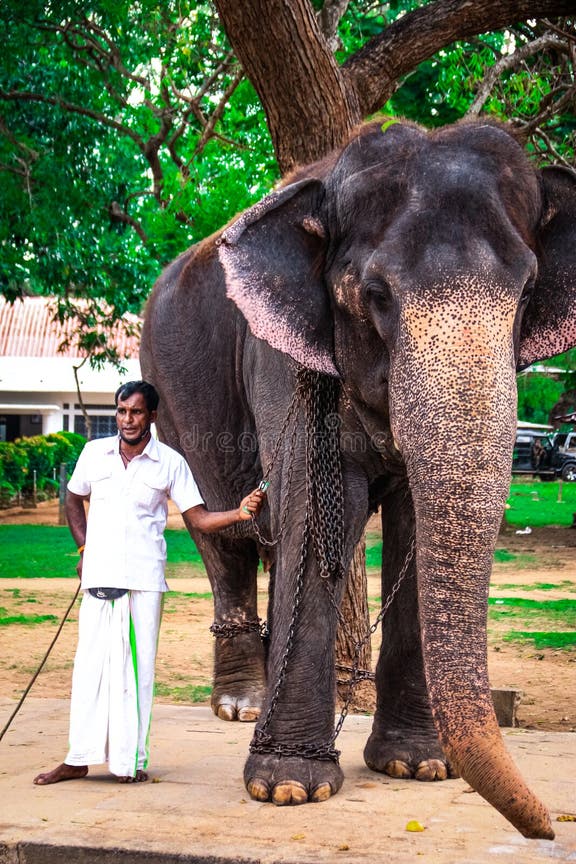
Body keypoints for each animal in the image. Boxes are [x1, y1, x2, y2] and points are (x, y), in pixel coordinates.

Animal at [140, 117, 576, 840]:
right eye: (375, 296)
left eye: (525, 294)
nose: (546, 828)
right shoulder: (282, 356)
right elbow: (316, 506)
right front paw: (288, 788)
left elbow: (412, 520)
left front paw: (419, 767)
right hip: (170, 387)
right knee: (224, 534)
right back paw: (240, 704)